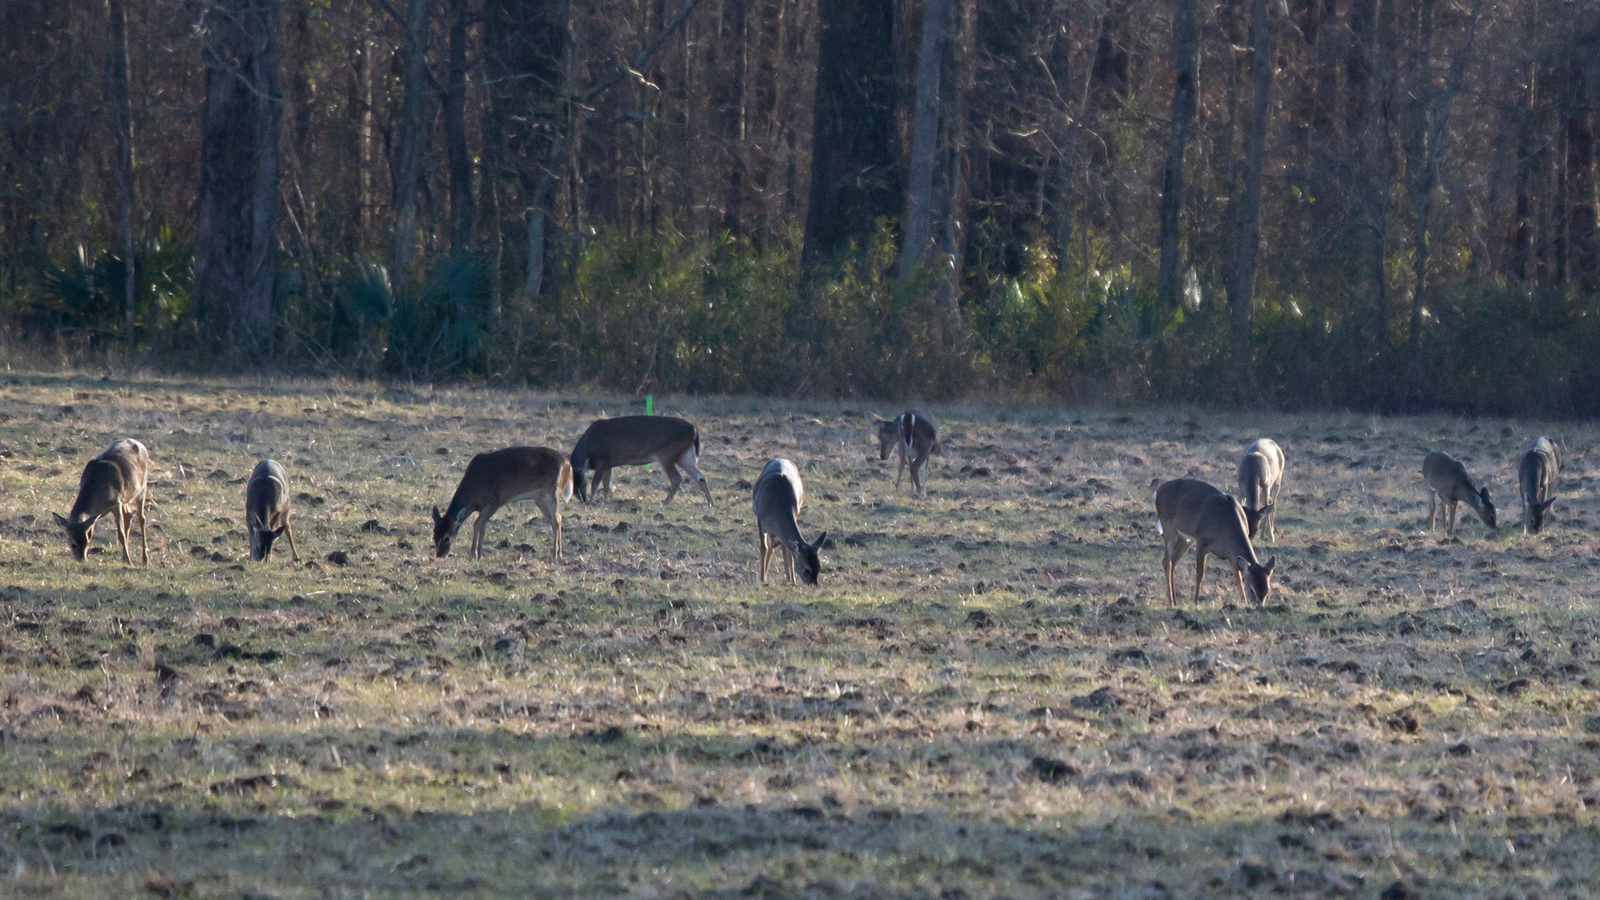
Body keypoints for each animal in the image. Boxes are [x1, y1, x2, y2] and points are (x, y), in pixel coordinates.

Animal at [432, 446, 573, 561]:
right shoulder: (484, 507)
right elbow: (482, 526)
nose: (439, 555)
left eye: (446, 538)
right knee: (557, 519)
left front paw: (473, 555)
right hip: (539, 498)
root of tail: (568, 464)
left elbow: (477, 524)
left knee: (557, 519)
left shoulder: (495, 501)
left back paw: (556, 556)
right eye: (434, 536)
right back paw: (558, 553)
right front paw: (479, 554)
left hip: (553, 492)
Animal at [568, 415, 712, 507]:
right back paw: (710, 503)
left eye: (582, 484)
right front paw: (605, 500)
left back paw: (665, 502)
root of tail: (693, 429)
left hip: (666, 454)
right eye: (572, 488)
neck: (588, 448)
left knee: (677, 477)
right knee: (700, 476)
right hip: (683, 456)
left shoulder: (602, 460)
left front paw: (593, 501)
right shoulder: (609, 463)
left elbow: (596, 483)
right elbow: (606, 483)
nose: (583, 500)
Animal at [1154, 478, 1276, 607]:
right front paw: (1196, 601)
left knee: (1172, 562)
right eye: (1252, 590)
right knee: (1167, 562)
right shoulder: (1202, 541)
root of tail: (1159, 490)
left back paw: (1174, 600)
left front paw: (1244, 601)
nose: (1259, 606)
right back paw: (1171, 602)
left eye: (1267, 591)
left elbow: (1238, 578)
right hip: (1169, 530)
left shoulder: (1231, 555)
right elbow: (1200, 574)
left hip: (1186, 539)